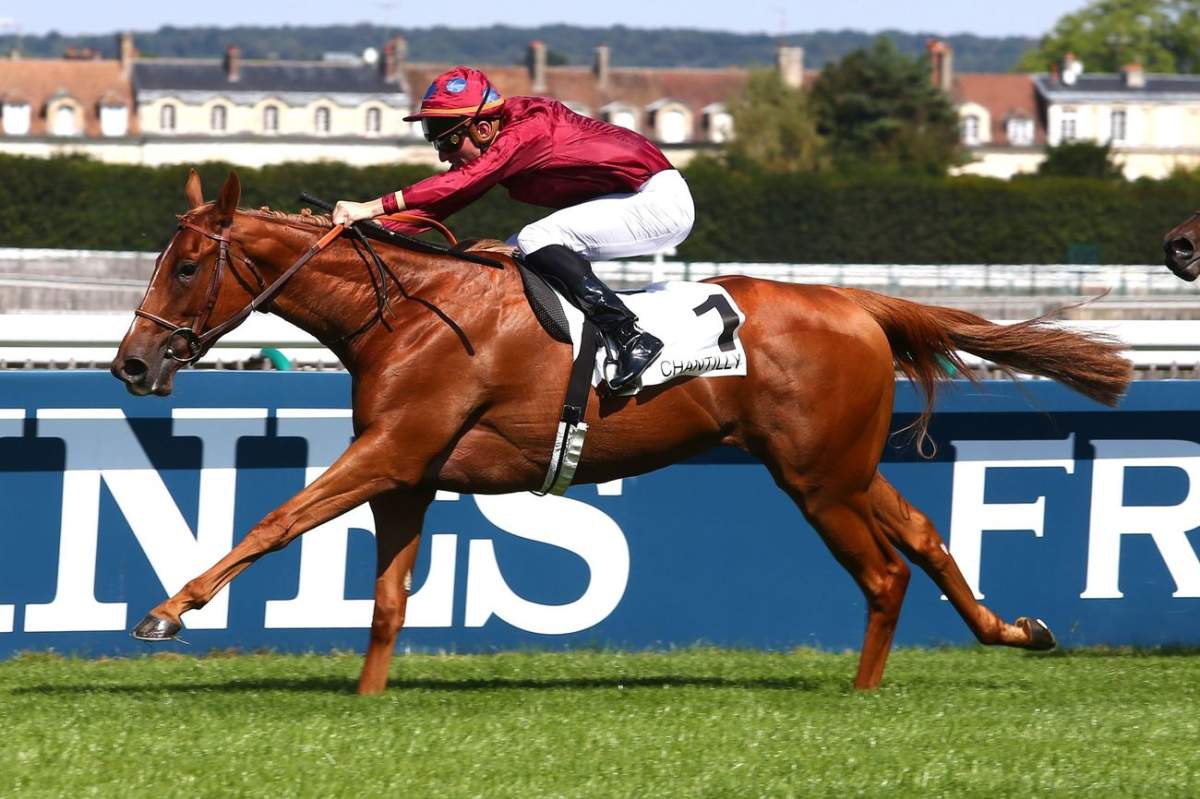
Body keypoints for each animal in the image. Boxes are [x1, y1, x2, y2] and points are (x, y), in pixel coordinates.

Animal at [111, 170, 1132, 694]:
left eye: (189, 264)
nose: (131, 363)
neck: (407, 309)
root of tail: (859, 303)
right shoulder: (409, 471)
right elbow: (390, 598)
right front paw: (367, 703)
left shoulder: (391, 451)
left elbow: (274, 521)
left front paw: (168, 608)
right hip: (837, 464)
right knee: (921, 534)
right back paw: (1014, 631)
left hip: (816, 477)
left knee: (885, 571)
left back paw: (862, 693)